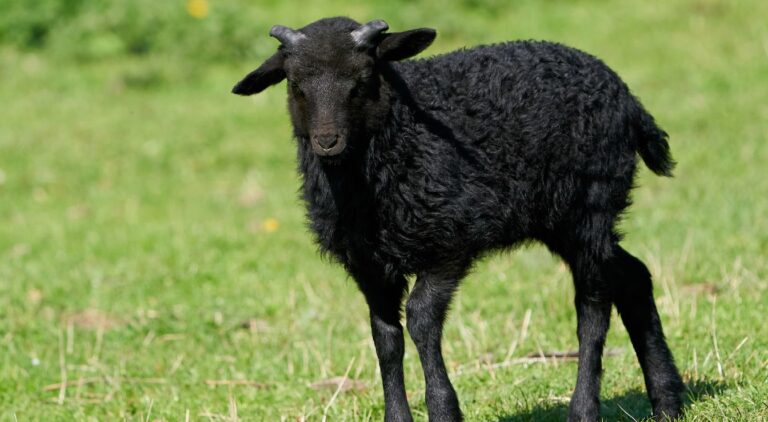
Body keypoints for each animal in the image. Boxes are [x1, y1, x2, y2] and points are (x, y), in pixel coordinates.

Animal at [232, 17, 684, 422]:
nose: (327, 141)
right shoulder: (368, 263)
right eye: (295, 84)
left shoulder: (447, 243)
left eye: (362, 79)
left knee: (593, 305)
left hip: (590, 207)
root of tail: (629, 100)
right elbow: (385, 336)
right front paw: (397, 416)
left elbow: (420, 320)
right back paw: (667, 401)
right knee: (632, 275)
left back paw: (584, 409)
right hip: (561, 221)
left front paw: (444, 409)